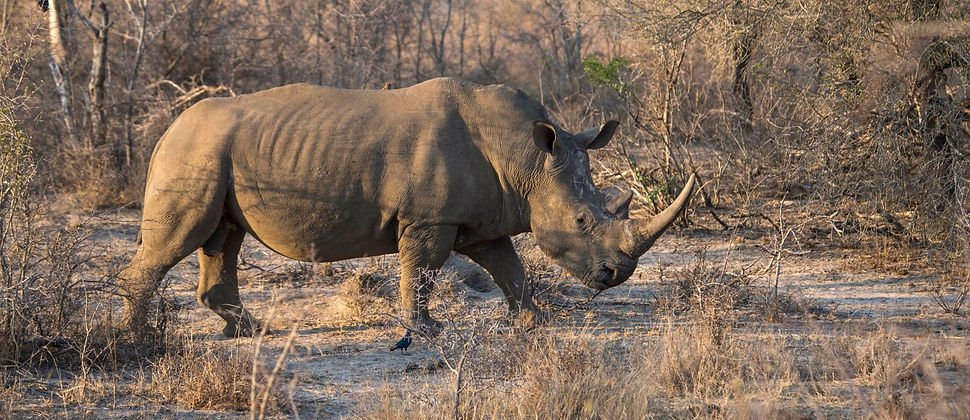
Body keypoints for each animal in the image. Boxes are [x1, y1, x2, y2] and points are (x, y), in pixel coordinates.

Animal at [119, 77, 695, 337]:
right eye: (581, 220)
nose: (614, 276)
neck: (528, 159)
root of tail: (167, 128)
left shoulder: (481, 219)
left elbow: (510, 269)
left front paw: (534, 322)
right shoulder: (429, 218)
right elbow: (422, 272)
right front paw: (427, 331)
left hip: (213, 153)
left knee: (223, 238)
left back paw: (251, 331)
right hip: (194, 151)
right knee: (184, 238)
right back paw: (139, 337)